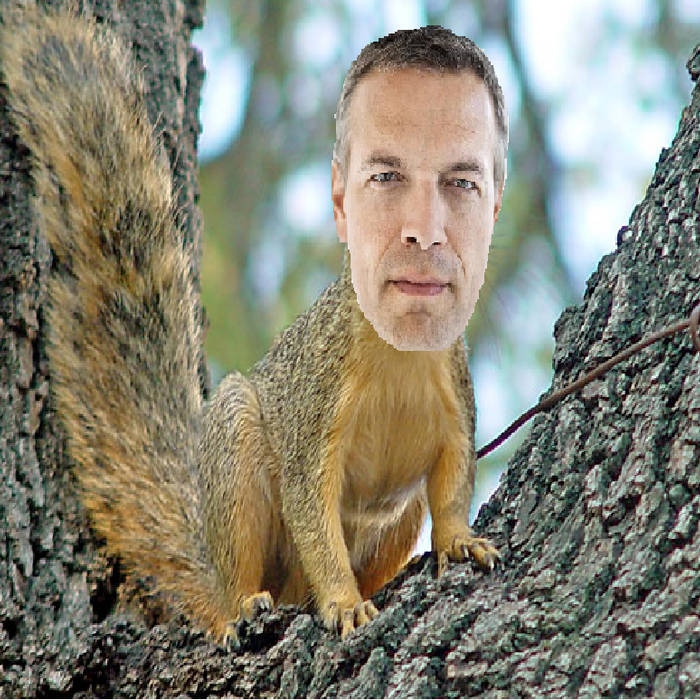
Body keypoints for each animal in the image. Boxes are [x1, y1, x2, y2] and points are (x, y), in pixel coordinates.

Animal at [0, 4, 499, 644]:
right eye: (385, 179)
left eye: (462, 183)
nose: (423, 241)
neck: (401, 352)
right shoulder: (318, 402)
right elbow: (312, 508)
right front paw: (343, 603)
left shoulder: (455, 403)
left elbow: (454, 481)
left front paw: (460, 541)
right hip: (236, 458)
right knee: (241, 575)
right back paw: (245, 606)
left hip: (396, 514)